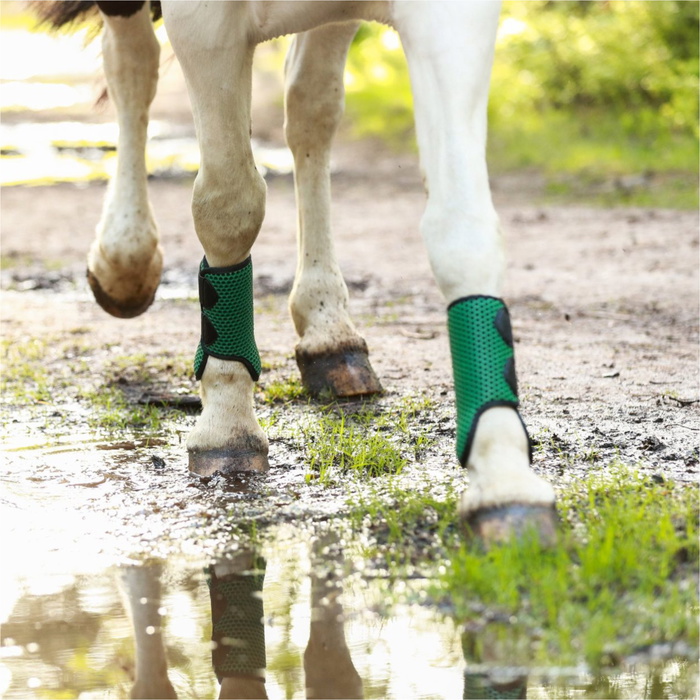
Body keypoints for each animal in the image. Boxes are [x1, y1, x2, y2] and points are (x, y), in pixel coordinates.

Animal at [37, 0, 557, 544]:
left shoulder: (452, 18)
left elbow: (462, 229)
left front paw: (503, 476)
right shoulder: (204, 22)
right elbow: (229, 202)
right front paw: (227, 423)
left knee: (310, 108)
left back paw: (330, 333)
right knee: (133, 63)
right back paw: (124, 256)